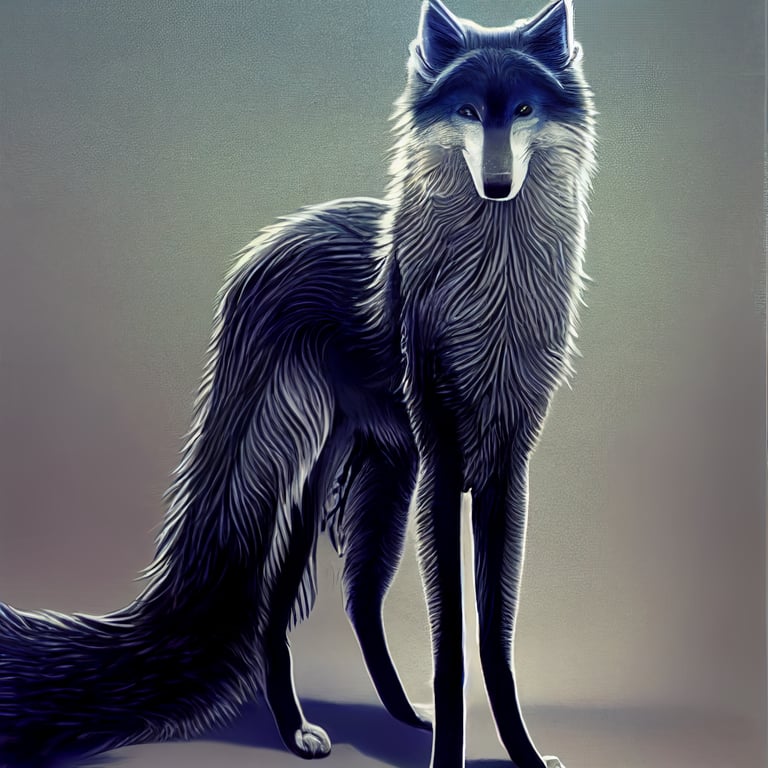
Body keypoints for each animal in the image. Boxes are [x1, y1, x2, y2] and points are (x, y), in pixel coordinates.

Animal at [0, 1, 595, 767]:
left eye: (523, 110)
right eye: (467, 111)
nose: (497, 184)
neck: (491, 288)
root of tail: (269, 246)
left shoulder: (505, 472)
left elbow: (495, 645)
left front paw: (521, 753)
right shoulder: (443, 464)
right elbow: (452, 648)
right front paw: (452, 755)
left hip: (383, 481)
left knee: (359, 601)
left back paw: (403, 713)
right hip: (304, 482)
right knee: (273, 615)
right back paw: (295, 731)